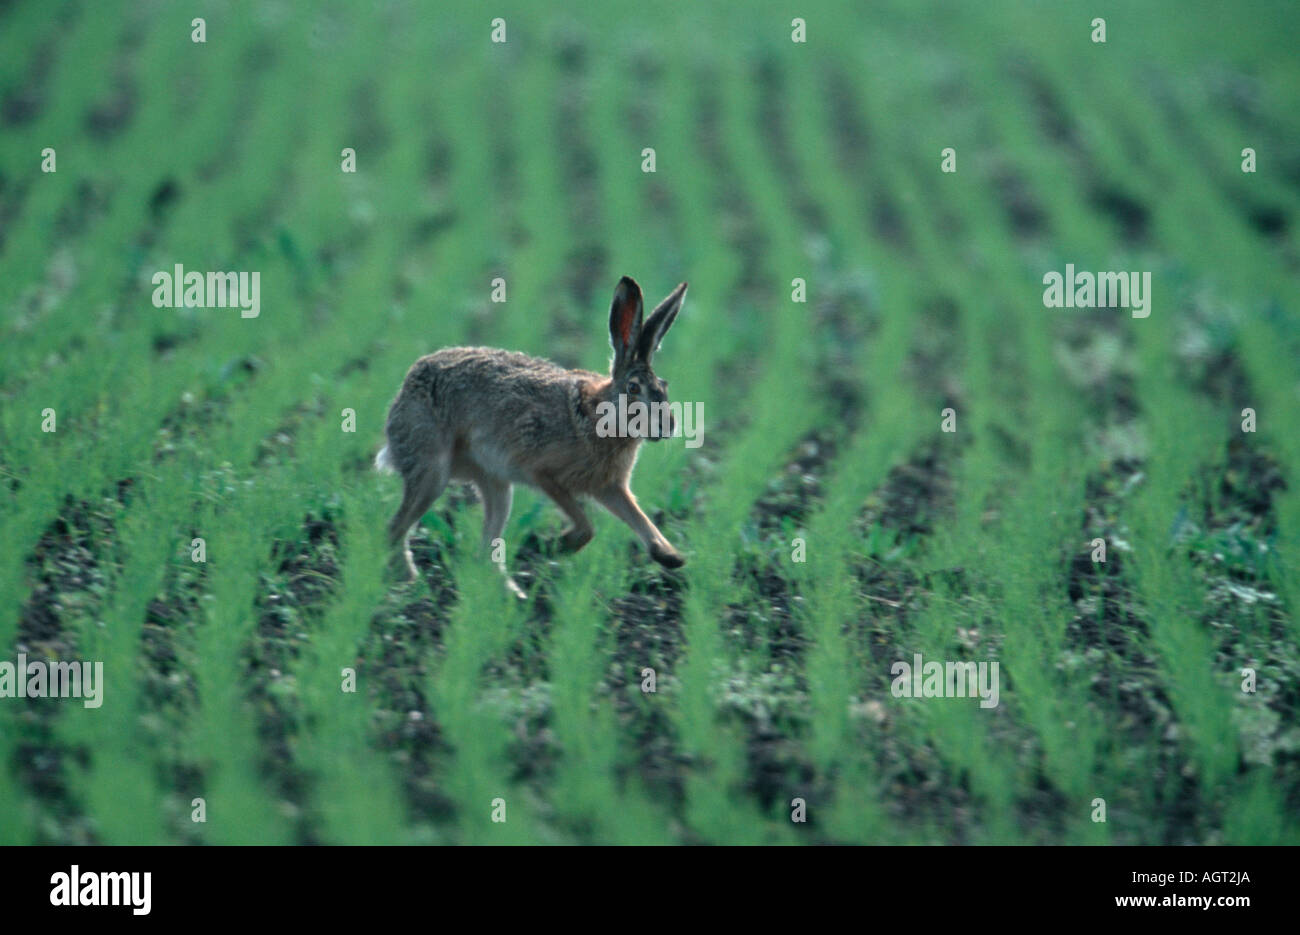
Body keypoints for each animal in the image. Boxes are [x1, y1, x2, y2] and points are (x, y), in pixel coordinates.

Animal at [376, 275, 688, 586]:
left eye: (664, 386)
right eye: (633, 388)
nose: (669, 426)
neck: (598, 415)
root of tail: (403, 393)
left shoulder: (610, 487)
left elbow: (639, 520)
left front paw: (672, 557)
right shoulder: (544, 474)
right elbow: (587, 526)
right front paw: (549, 544)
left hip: (497, 486)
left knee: (485, 551)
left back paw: (507, 590)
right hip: (432, 471)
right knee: (394, 529)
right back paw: (408, 579)